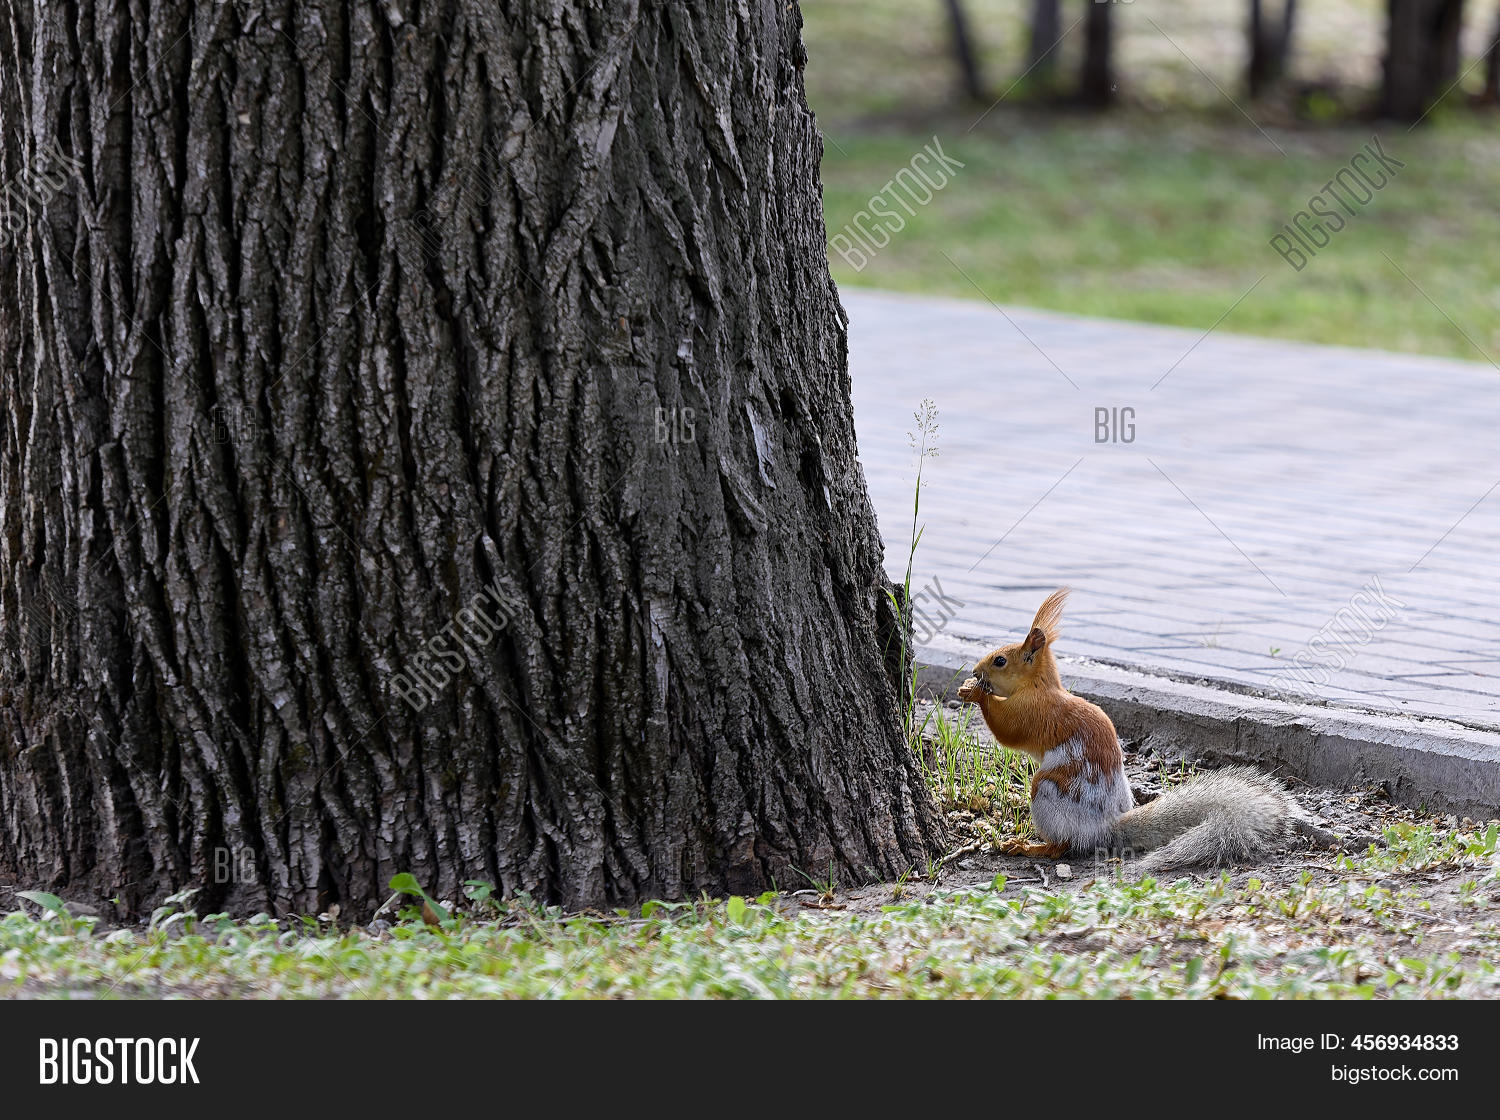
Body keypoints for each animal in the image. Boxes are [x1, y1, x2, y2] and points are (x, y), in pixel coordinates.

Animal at [956, 587, 1314, 872]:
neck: (1039, 687)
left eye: (1000, 660)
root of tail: (1104, 828)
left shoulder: (1034, 712)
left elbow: (1009, 731)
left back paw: (1030, 847)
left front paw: (975, 693)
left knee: (1063, 846)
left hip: (1047, 791)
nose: (974, 670)